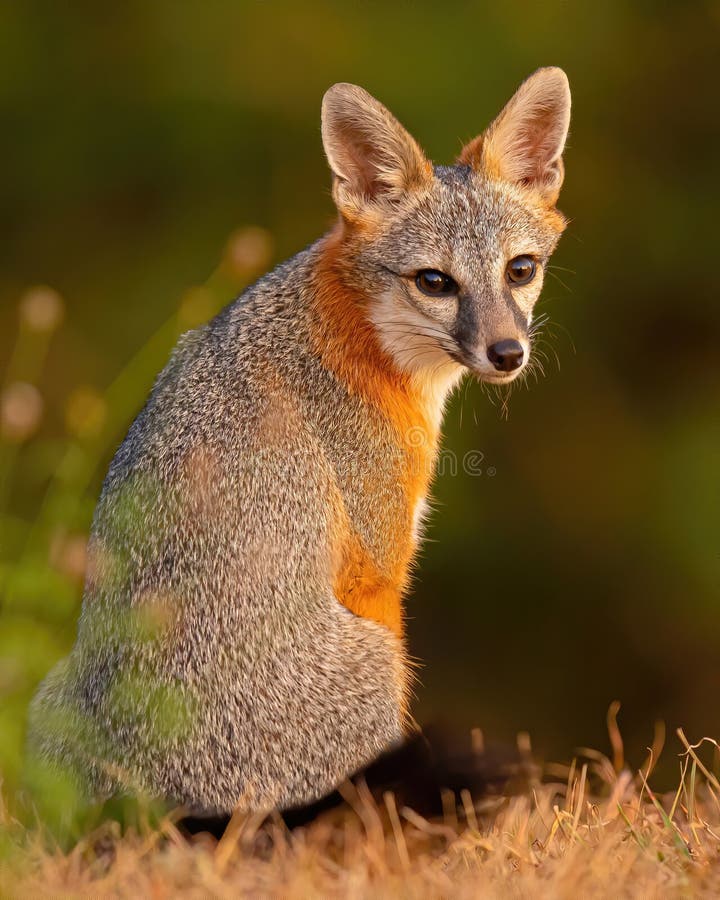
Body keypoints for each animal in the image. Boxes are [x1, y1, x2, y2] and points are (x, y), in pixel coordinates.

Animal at [28, 67, 571, 820]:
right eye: (435, 282)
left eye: (520, 270)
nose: (507, 353)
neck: (355, 332)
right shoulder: (377, 573)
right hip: (375, 657)